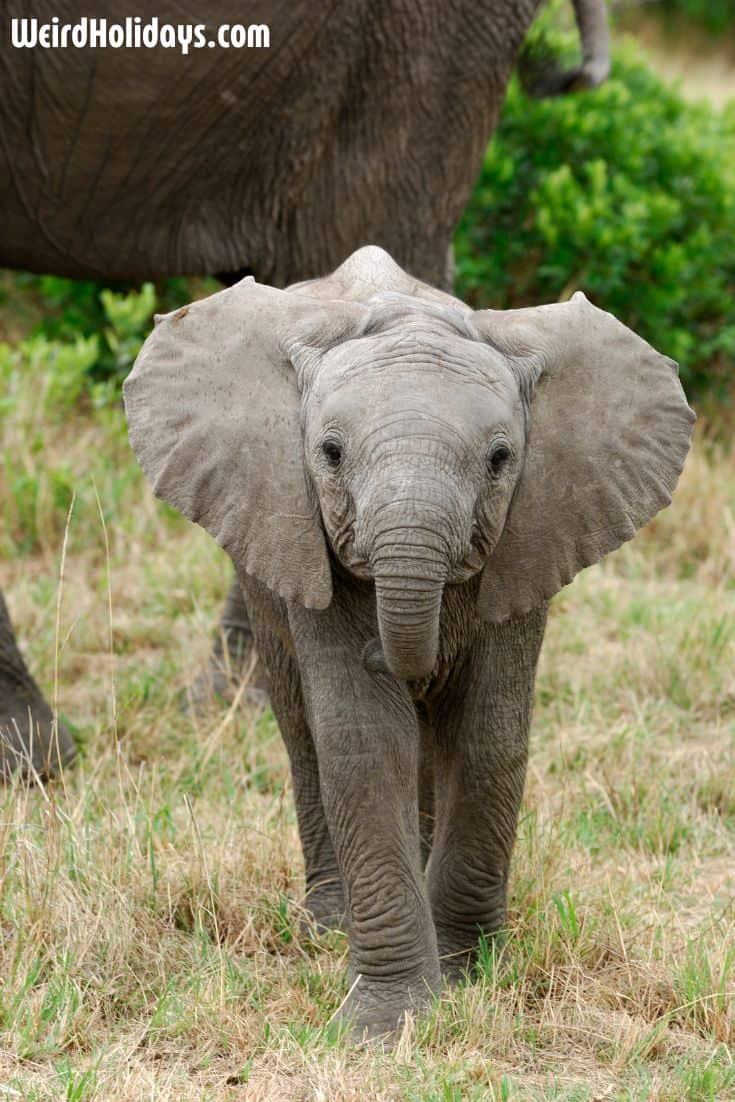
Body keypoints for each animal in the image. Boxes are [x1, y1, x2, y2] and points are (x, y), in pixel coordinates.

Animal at [123, 246, 694, 1039]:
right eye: (329, 453)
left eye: (500, 459)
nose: (386, 653)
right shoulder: (306, 533)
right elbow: (364, 741)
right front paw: (386, 1023)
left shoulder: (532, 534)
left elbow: (487, 734)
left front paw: (467, 972)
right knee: (302, 730)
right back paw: (326, 924)